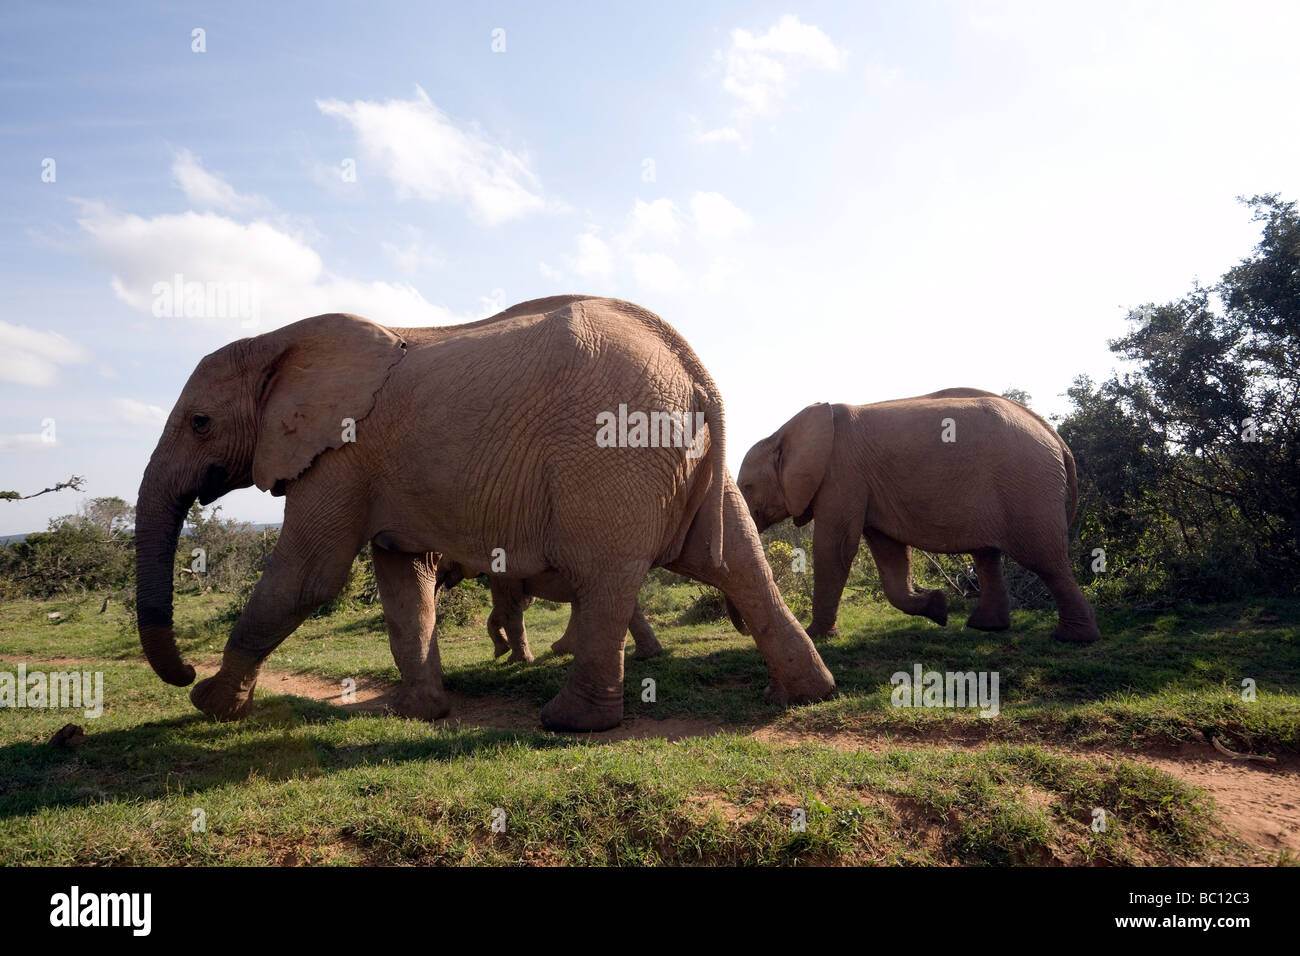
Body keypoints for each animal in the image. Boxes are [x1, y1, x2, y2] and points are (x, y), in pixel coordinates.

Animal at [736, 388, 1100, 644]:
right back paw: (987, 627)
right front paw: (937, 608)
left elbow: (834, 549)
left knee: (1044, 559)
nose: (746, 632)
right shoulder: (865, 483)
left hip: (1027, 485)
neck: (783, 432)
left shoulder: (842, 475)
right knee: (988, 555)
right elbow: (890, 554)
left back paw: (1072, 639)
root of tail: (1055, 437)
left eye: (748, 487)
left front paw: (818, 636)